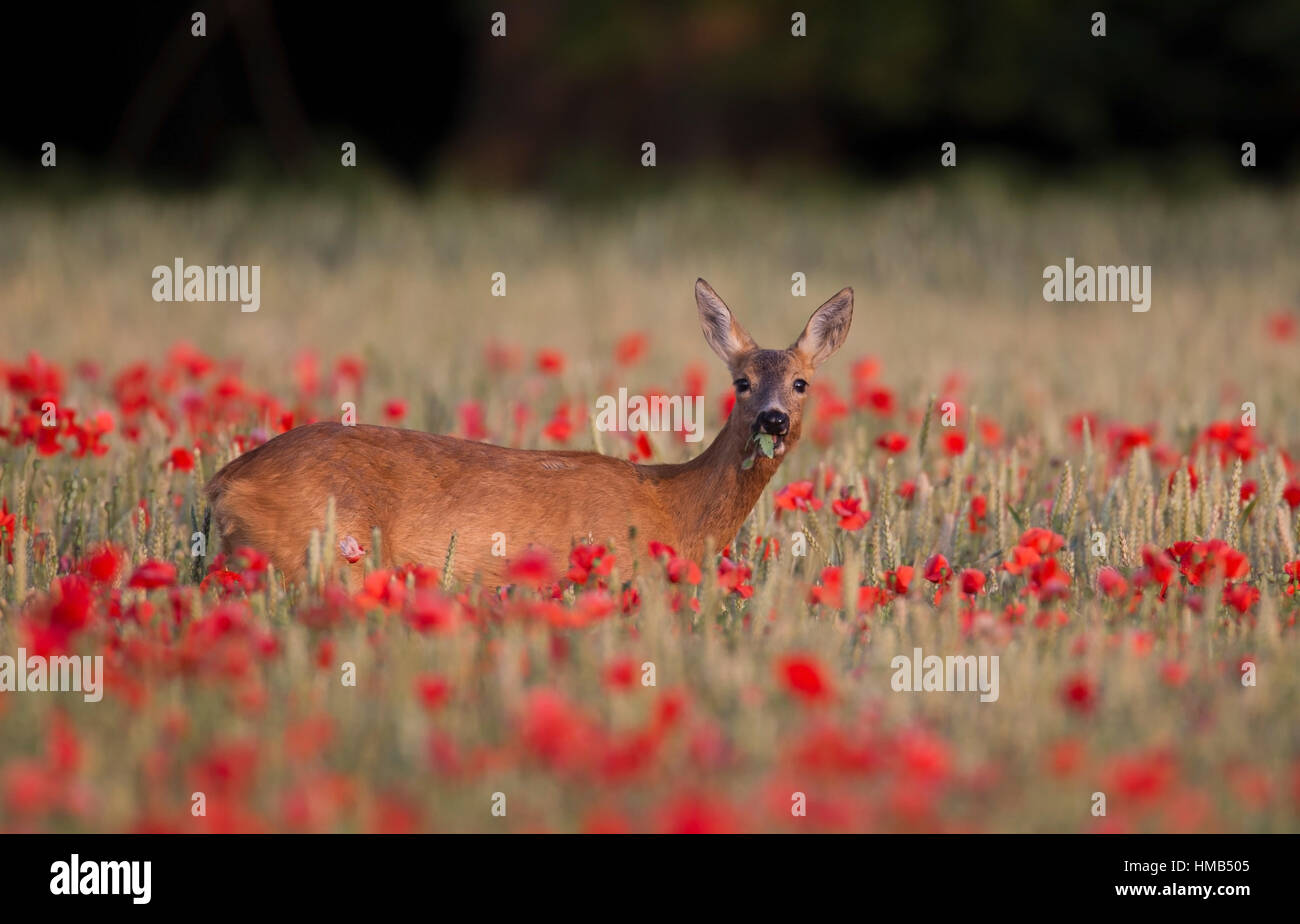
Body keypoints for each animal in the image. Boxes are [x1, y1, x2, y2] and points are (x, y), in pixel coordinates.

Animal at [205, 279, 853, 588]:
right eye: (742, 382)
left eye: (801, 383)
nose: (773, 419)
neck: (673, 506)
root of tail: (223, 483)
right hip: (319, 556)